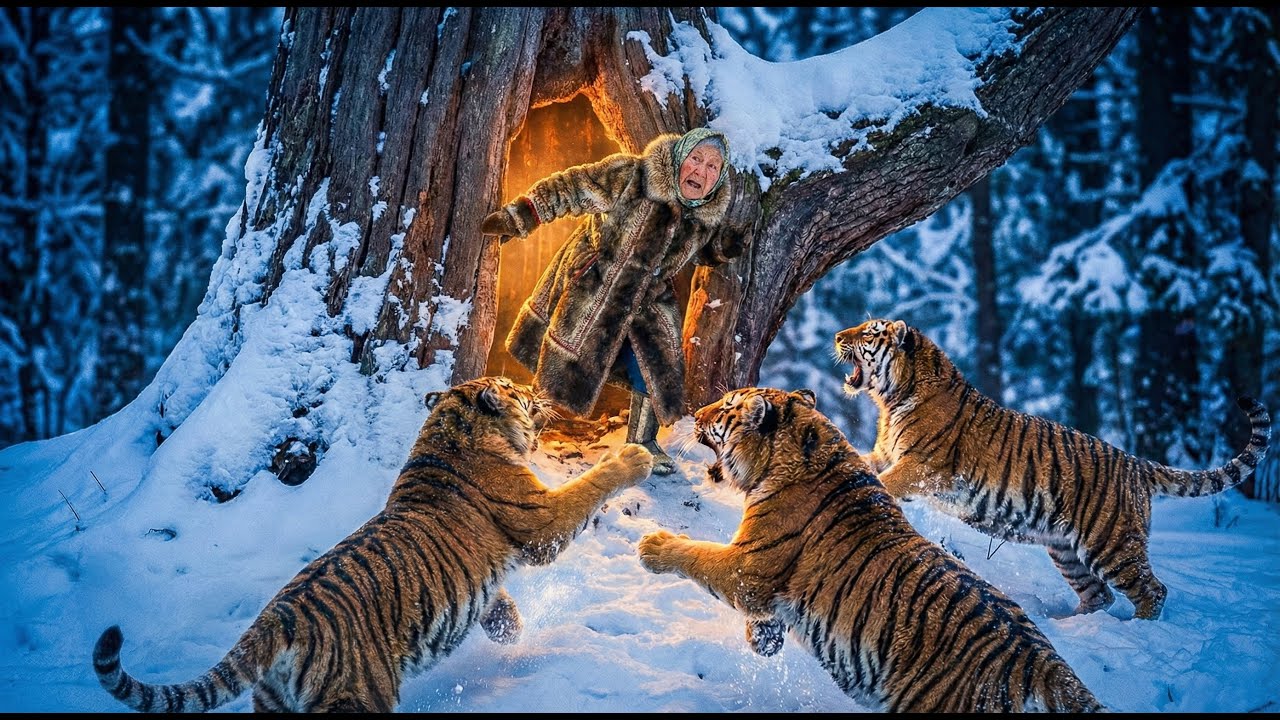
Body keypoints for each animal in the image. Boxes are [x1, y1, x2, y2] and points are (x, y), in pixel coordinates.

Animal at [93, 376, 654, 713]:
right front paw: (634, 458)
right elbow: (590, 486)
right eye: (514, 389)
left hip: (274, 702)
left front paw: (511, 629)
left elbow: (495, 603)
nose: (532, 387)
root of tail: (277, 618)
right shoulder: (541, 521)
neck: (449, 431)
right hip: (356, 696)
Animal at [637, 386, 1105, 713]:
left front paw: (653, 545)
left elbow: (698, 555)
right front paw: (763, 641)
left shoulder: (748, 567)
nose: (697, 414)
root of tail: (1041, 664)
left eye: (726, 406)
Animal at [834, 318, 1271, 620]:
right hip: (1067, 551)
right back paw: (1073, 627)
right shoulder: (885, 453)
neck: (891, 400)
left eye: (870, 333)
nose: (838, 336)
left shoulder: (922, 466)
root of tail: (1136, 463)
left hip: (1112, 543)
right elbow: (864, 460)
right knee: (1099, 595)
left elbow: (886, 482)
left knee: (1153, 590)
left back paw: (1139, 626)